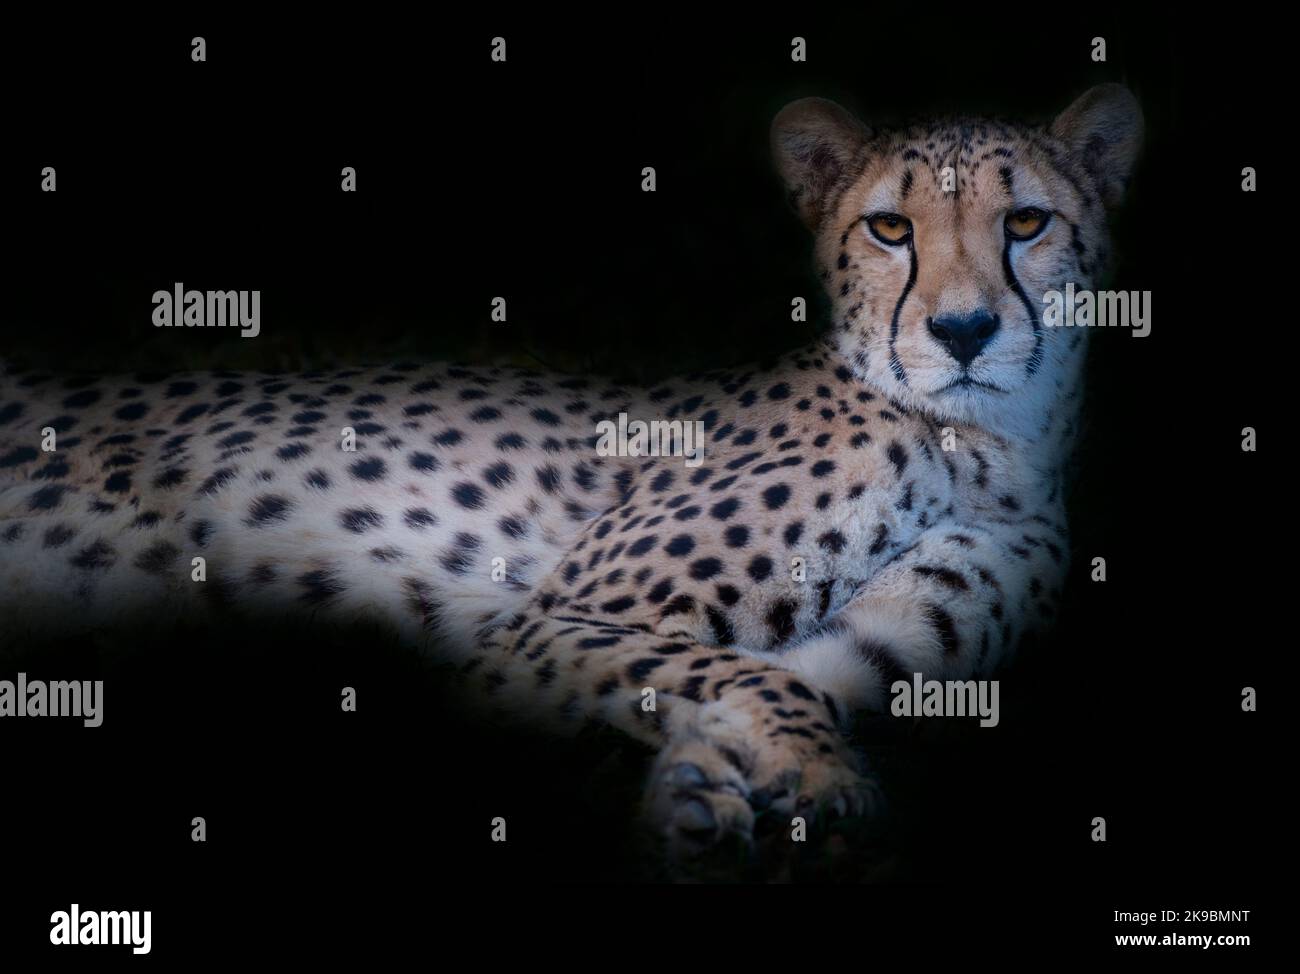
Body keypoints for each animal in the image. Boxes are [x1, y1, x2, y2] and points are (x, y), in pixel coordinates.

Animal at [0, 84, 1142, 867]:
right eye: (890, 228)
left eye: (1025, 222)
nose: (964, 331)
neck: (983, 442)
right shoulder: (549, 622)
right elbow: (757, 676)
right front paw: (791, 788)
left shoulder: (873, 644)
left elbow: (782, 680)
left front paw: (703, 793)